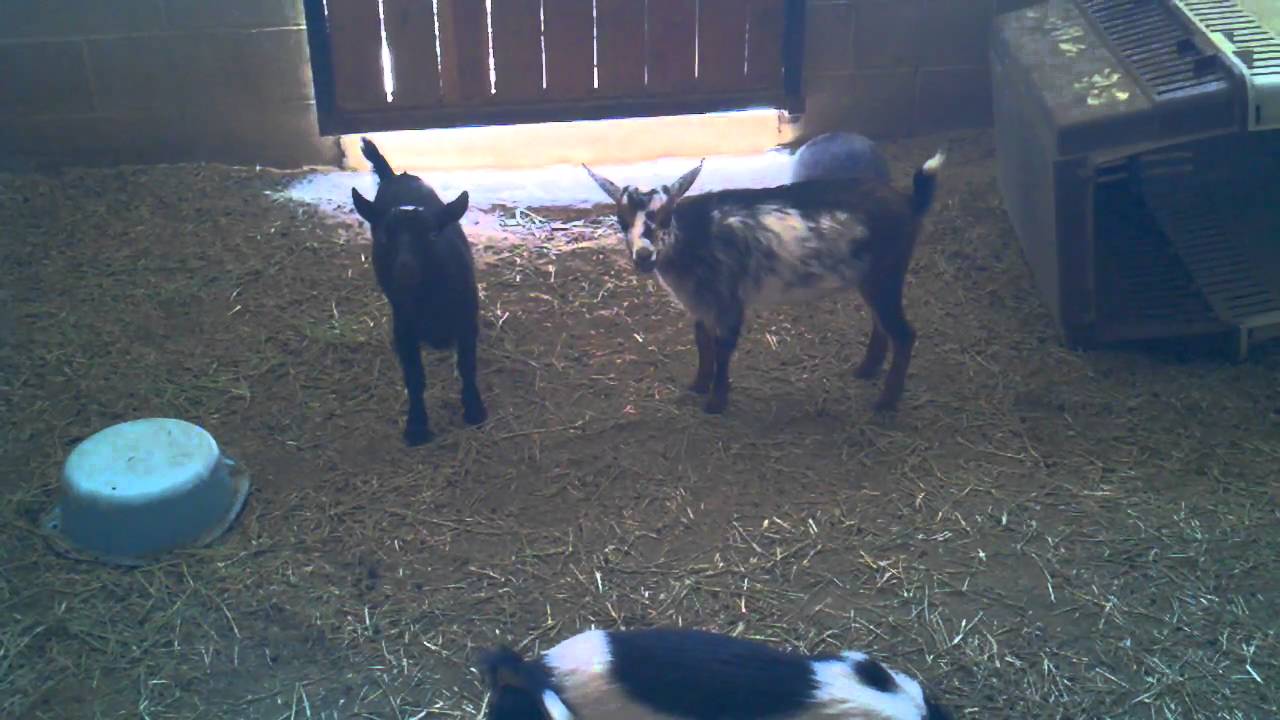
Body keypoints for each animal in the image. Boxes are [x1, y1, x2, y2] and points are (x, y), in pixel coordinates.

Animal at [351, 138, 487, 446]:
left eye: (433, 235)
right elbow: (414, 377)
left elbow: (467, 365)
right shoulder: (404, 329)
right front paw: (416, 426)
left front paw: (474, 409)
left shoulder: (466, 321)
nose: (405, 271)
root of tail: (395, 177)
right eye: (385, 237)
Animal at [583, 150, 945, 415]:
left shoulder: (729, 299)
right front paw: (698, 385)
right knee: (881, 323)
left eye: (665, 216)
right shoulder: (701, 304)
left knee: (904, 333)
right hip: (871, 278)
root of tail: (910, 202)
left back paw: (885, 403)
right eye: (621, 220)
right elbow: (702, 342)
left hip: (886, 272)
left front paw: (716, 402)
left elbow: (723, 347)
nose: (644, 256)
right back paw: (866, 370)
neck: (694, 237)